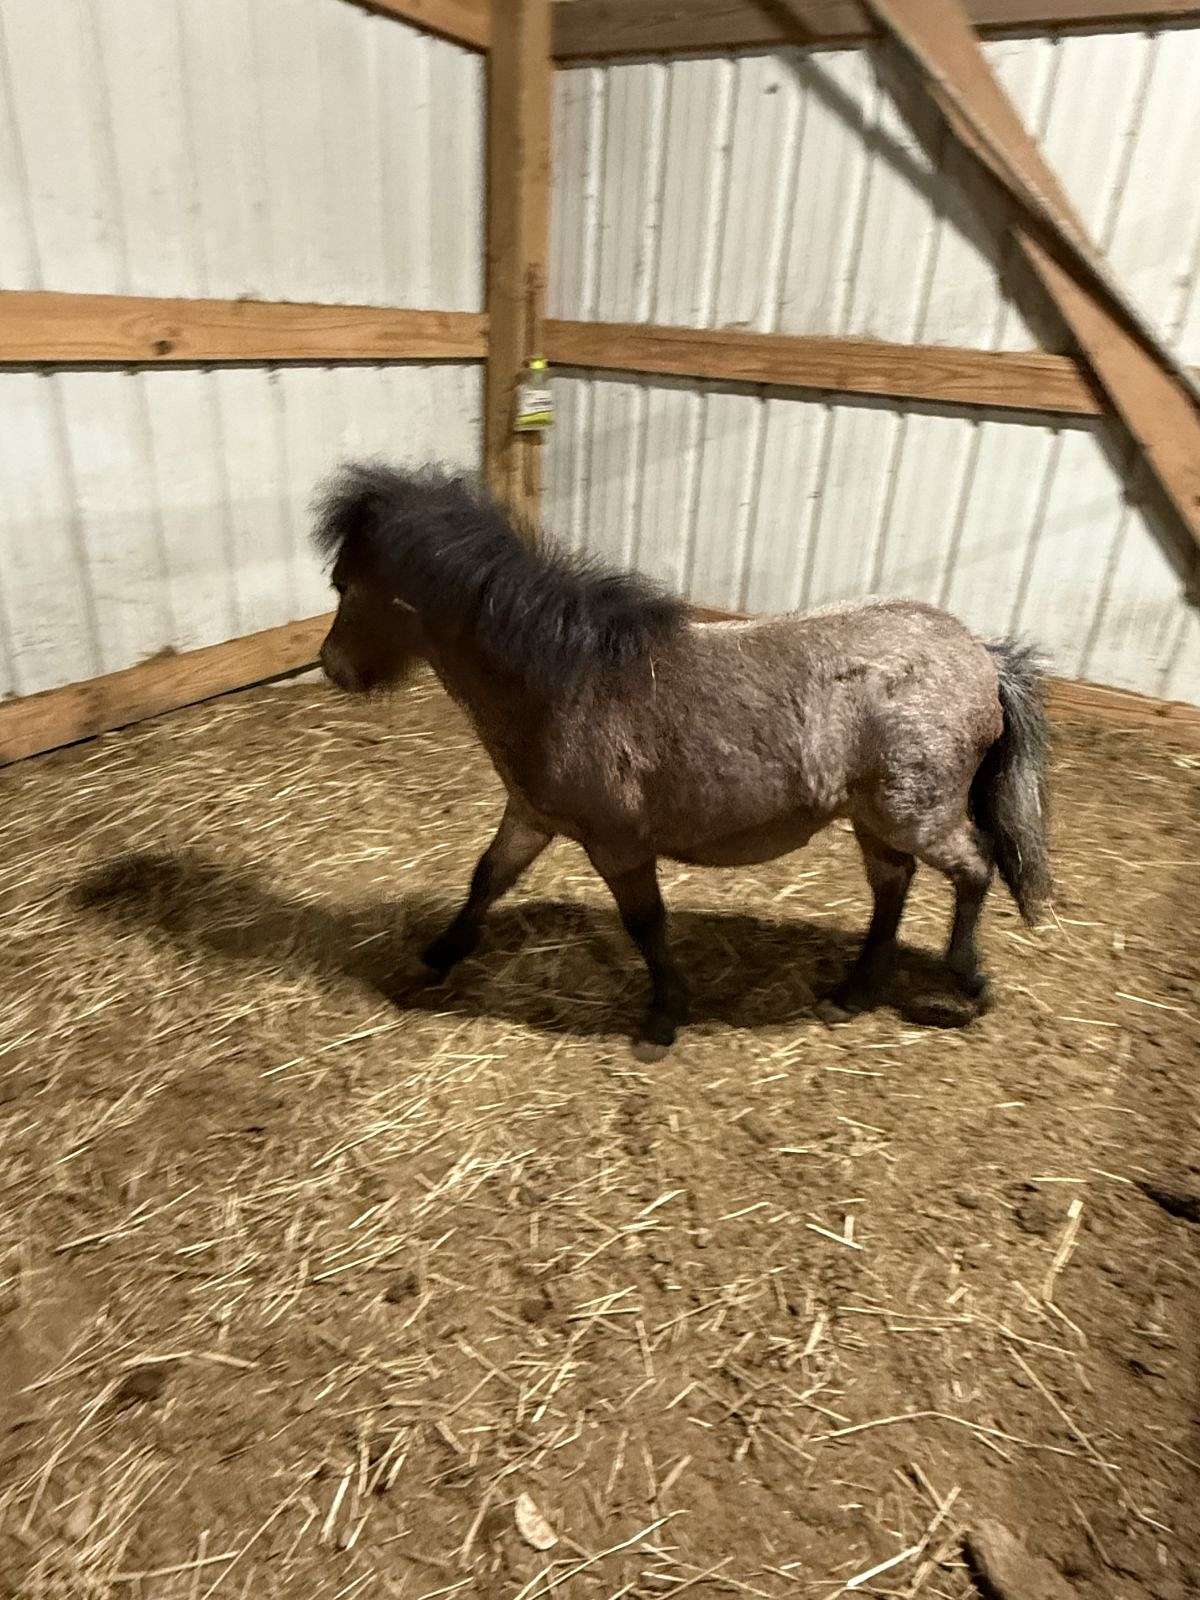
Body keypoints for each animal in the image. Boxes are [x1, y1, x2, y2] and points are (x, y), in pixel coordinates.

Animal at [314, 462, 1051, 1053]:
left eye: (347, 586)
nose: (332, 667)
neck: (565, 682)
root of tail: (983, 657)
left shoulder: (616, 844)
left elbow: (646, 925)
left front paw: (663, 1019)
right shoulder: (531, 814)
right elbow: (486, 879)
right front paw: (433, 959)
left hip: (914, 813)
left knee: (975, 870)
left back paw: (965, 985)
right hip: (873, 817)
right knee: (892, 889)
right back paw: (853, 994)